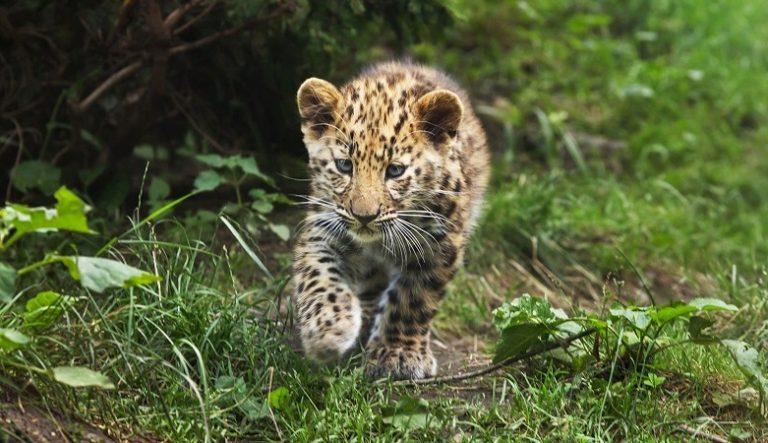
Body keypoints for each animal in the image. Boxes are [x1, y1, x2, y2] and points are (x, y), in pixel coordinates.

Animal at [292, 61, 490, 380]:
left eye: (395, 171)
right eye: (344, 166)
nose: (364, 216)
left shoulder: (439, 243)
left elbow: (412, 300)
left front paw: (399, 354)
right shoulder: (323, 225)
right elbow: (319, 275)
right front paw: (328, 331)